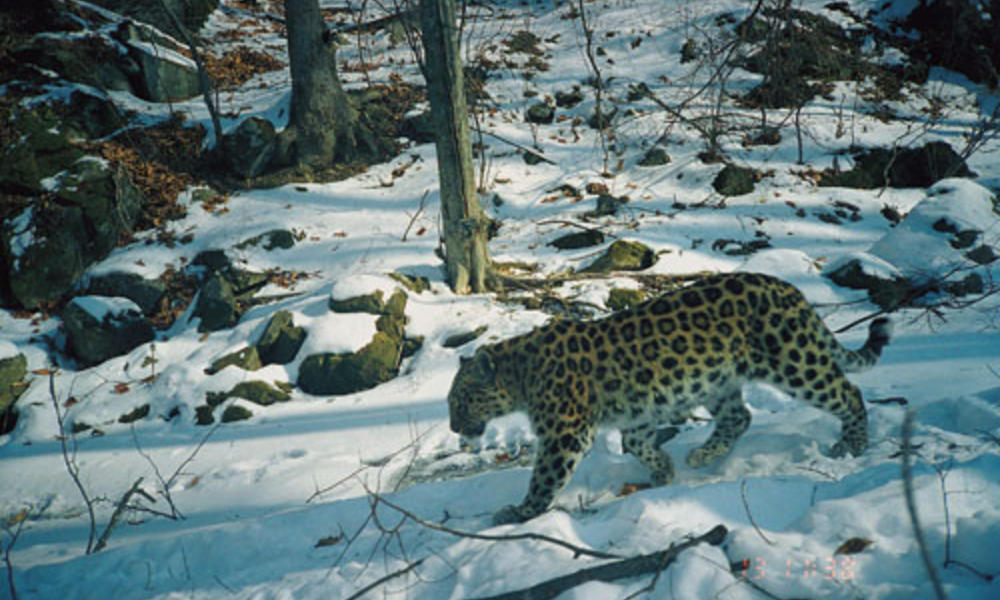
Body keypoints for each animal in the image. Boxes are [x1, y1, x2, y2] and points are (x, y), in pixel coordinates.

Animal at [447, 272, 892, 524]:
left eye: (461, 400)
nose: (453, 426)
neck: (520, 375)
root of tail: (788, 287)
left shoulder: (565, 434)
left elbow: (544, 478)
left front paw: (521, 513)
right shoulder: (635, 415)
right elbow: (636, 442)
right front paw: (663, 473)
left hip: (794, 361)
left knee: (848, 392)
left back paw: (853, 443)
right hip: (718, 379)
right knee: (740, 416)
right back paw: (703, 455)